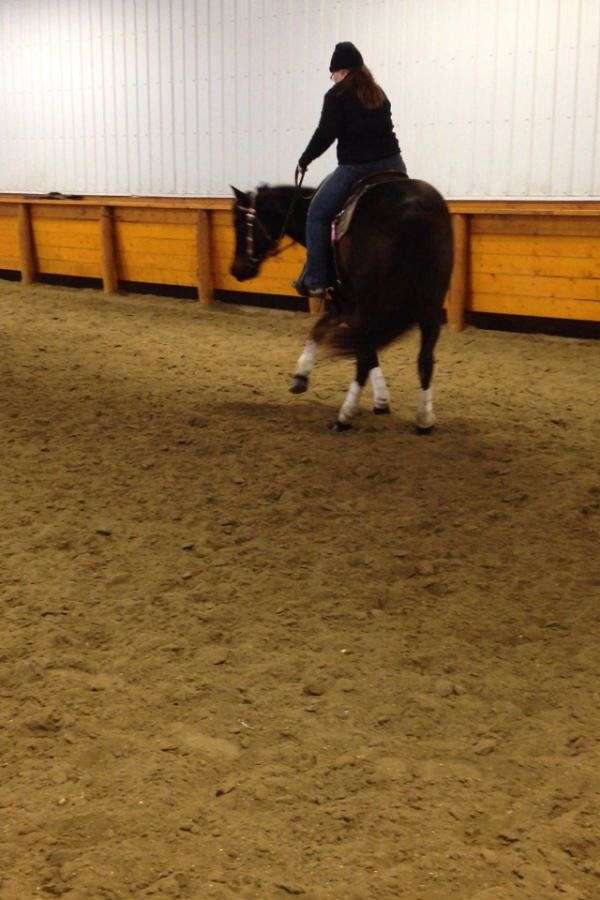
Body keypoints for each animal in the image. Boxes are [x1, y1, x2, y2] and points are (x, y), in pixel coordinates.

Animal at [229, 176, 453, 432]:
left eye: (240, 225)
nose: (237, 270)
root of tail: (414, 208)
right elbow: (326, 331)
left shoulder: (346, 302)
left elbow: (333, 335)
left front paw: (303, 375)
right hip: (431, 304)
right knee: (425, 359)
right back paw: (424, 419)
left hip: (373, 303)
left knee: (364, 355)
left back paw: (344, 416)